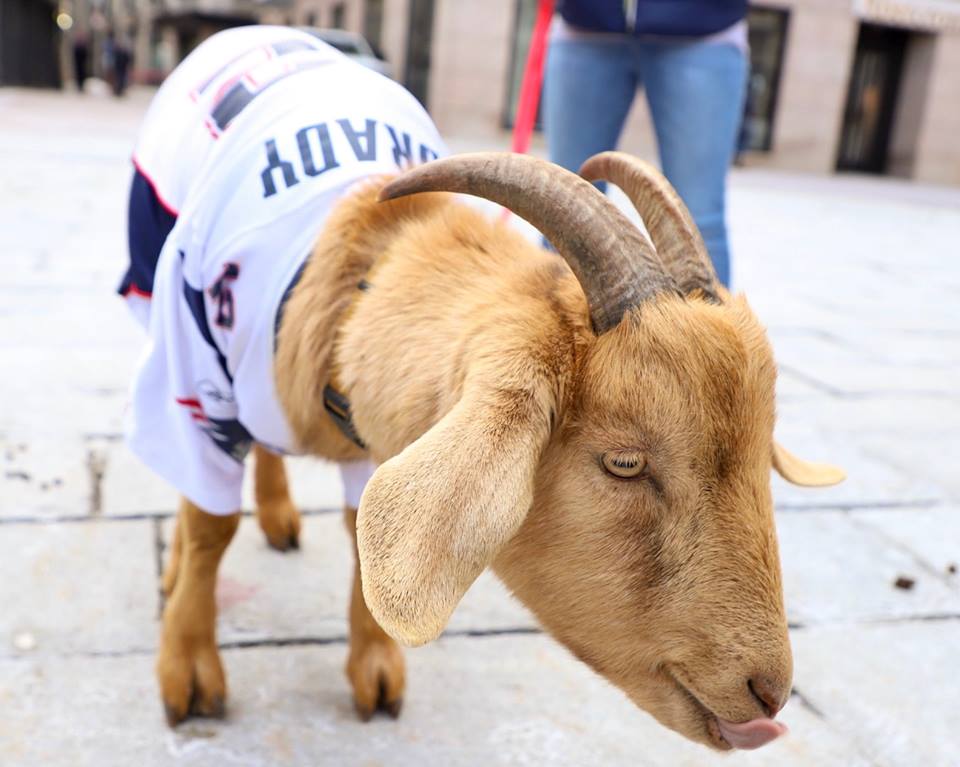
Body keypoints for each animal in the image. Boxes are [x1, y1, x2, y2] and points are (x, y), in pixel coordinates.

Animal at [153, 142, 844, 750]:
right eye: (624, 463)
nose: (769, 692)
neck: (359, 281)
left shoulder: (378, 442)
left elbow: (359, 530)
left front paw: (375, 673)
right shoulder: (196, 382)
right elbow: (211, 523)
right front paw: (189, 675)